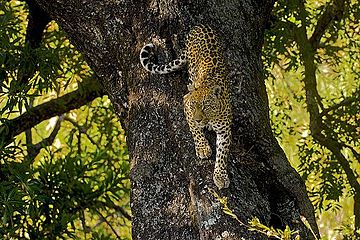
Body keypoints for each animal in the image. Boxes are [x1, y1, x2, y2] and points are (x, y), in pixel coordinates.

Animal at [139, 24, 232, 189]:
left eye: (206, 106)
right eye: (194, 106)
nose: (199, 119)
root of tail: (199, 26)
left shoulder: (225, 129)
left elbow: (222, 154)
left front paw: (220, 176)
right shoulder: (186, 103)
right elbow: (194, 129)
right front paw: (203, 148)